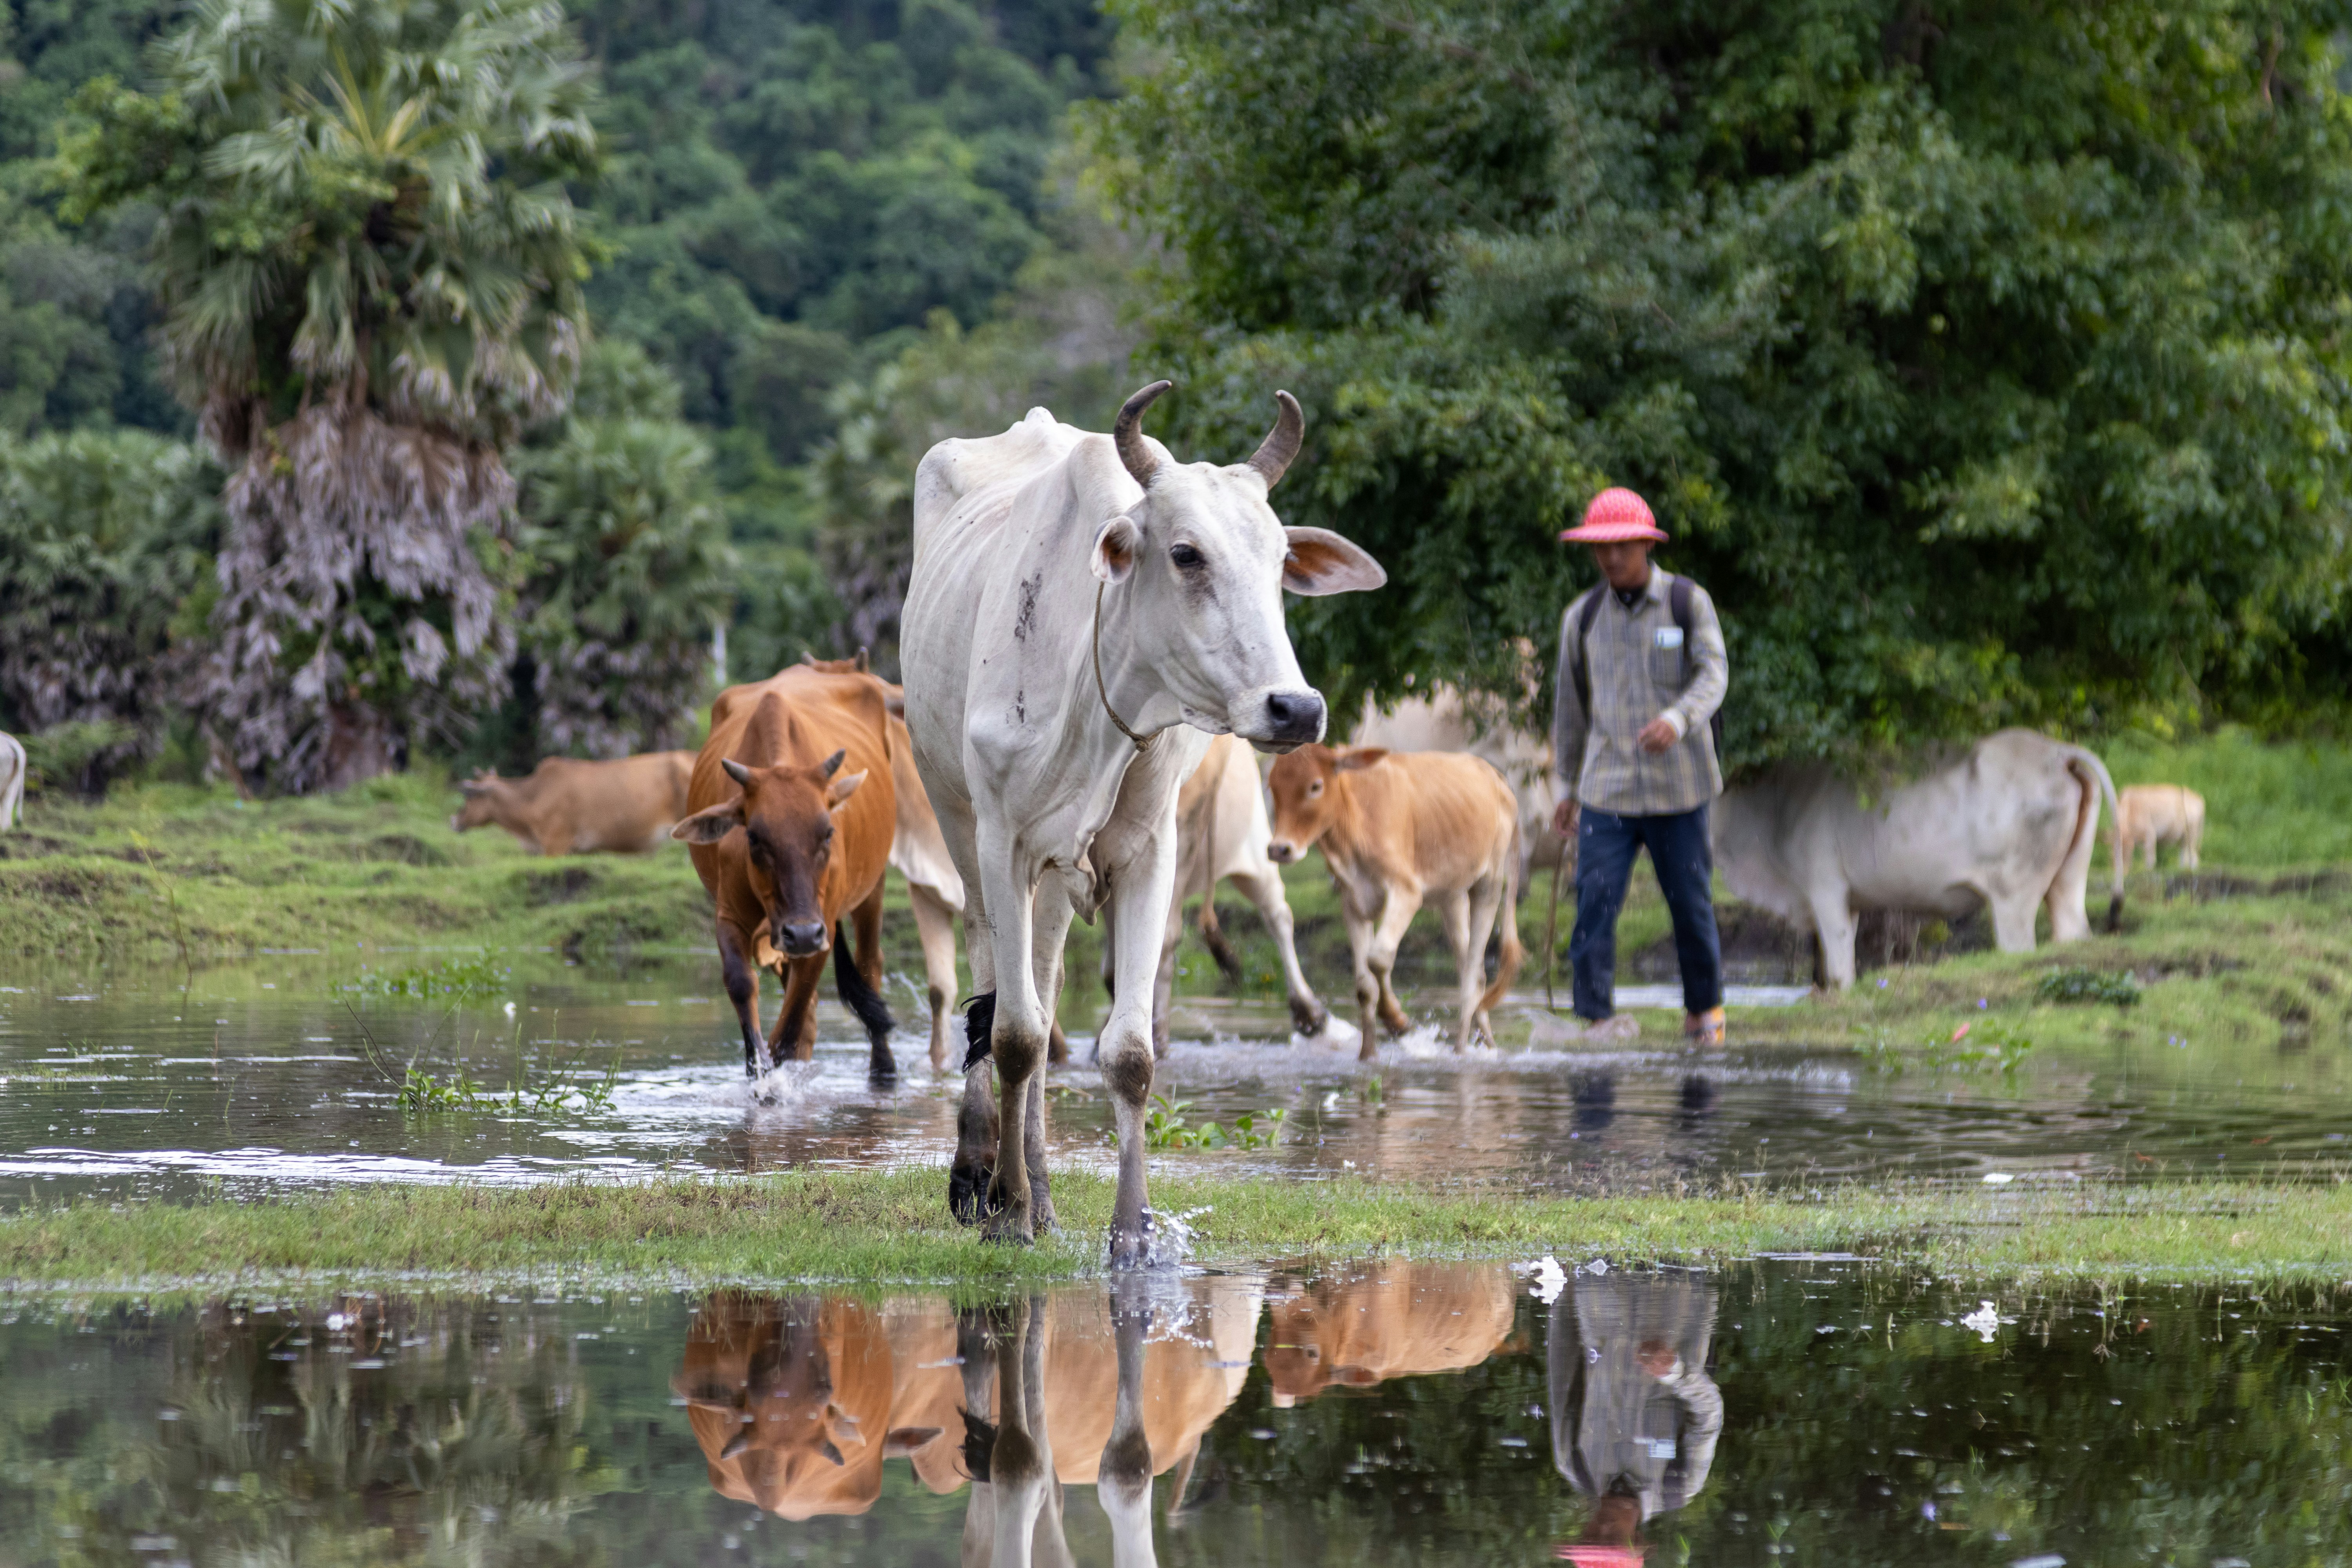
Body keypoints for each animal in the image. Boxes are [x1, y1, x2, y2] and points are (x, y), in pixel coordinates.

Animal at [670, 666, 900, 1079]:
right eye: (754, 837)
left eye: (827, 832)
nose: (803, 932)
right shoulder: (731, 917)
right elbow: (743, 985)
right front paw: (759, 1071)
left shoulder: (821, 930)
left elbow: (791, 1026)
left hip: (871, 890)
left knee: (869, 964)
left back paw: (884, 1068)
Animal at [902, 381, 1384, 1259]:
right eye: (1187, 554)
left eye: (1280, 561)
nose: (1296, 708)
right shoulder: (1002, 842)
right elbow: (1014, 1035)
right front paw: (1006, 1212)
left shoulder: (1148, 853)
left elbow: (1127, 1051)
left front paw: (1132, 1231)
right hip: (957, 818)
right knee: (994, 991)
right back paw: (981, 1177)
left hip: (1058, 872)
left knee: (1044, 990)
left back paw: (1040, 1188)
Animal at [1265, 744, 1524, 1059]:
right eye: (1273, 787)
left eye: (1315, 786)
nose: (1279, 849)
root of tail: (1497, 778)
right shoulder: (1353, 902)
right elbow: (1365, 987)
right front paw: (1367, 1055)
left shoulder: (1407, 892)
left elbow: (1378, 958)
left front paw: (1396, 1019)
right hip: (1452, 897)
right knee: (1471, 971)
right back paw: (1487, 1044)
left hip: (1489, 885)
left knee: (1472, 978)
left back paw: (1460, 1051)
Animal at [1713, 728, 2125, 990]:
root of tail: (2057, 752)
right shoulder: (1849, 899)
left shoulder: (1826, 889)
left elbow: (1840, 968)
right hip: (2069, 880)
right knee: (2072, 928)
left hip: (2013, 897)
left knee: (2019, 943)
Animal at [2114, 783, 2205, 871]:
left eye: (2125, 851)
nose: (2124, 871)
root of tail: (2199, 799)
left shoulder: (2150, 836)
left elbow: (2150, 861)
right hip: (2185, 839)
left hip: (2191, 836)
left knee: (2192, 858)